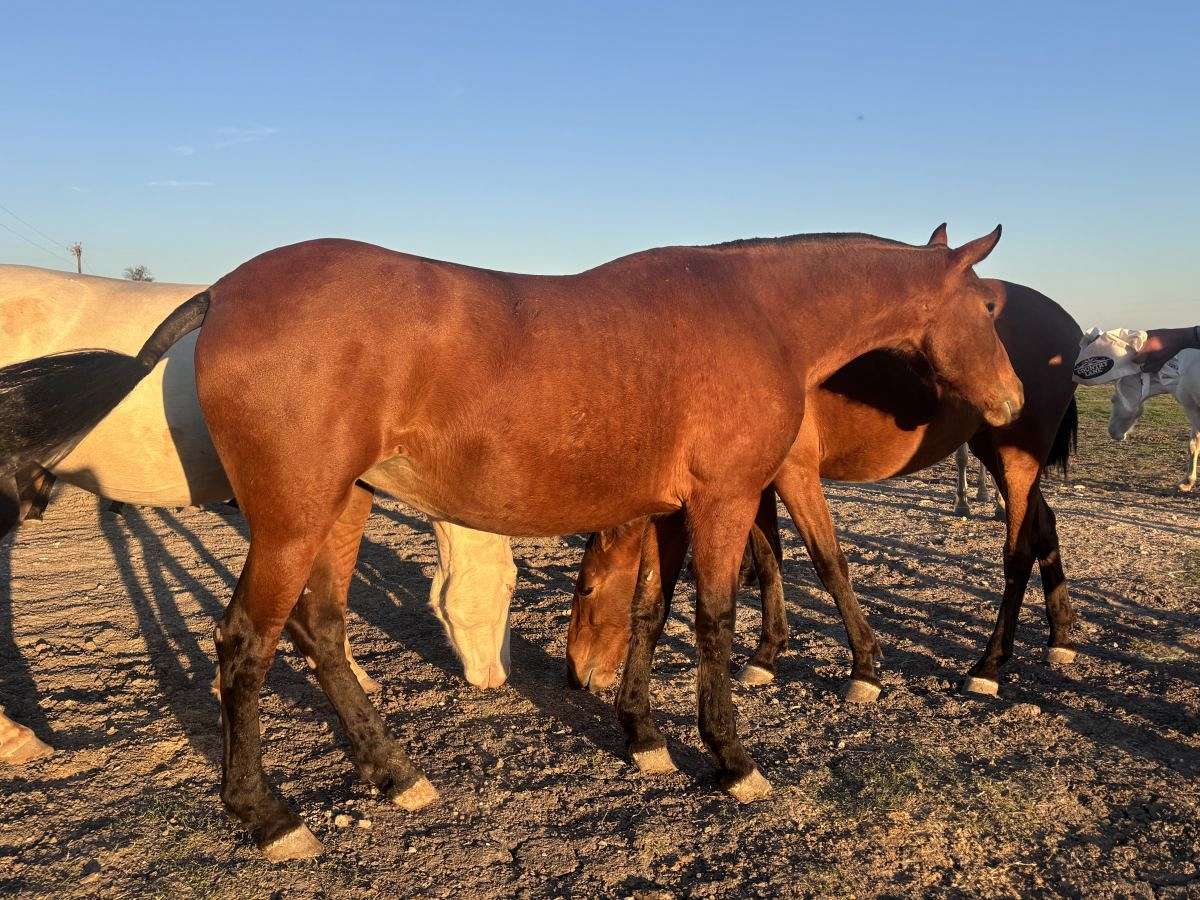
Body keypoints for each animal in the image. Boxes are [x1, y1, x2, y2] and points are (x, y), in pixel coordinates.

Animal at [566, 271, 1080, 701]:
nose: (575, 672)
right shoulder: (757, 483)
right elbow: (769, 558)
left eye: (587, 588)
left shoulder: (795, 474)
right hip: (993, 449)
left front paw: (864, 669)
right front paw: (766, 655)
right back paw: (1060, 636)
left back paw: (989, 666)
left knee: (1018, 551)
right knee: (1044, 524)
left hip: (1014, 456)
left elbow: (827, 561)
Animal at [1108, 348, 1200, 492]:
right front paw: (1188, 482)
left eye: (1113, 400)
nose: (1111, 431)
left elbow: (1193, 445)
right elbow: (1194, 446)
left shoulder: (1192, 408)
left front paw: (1188, 481)